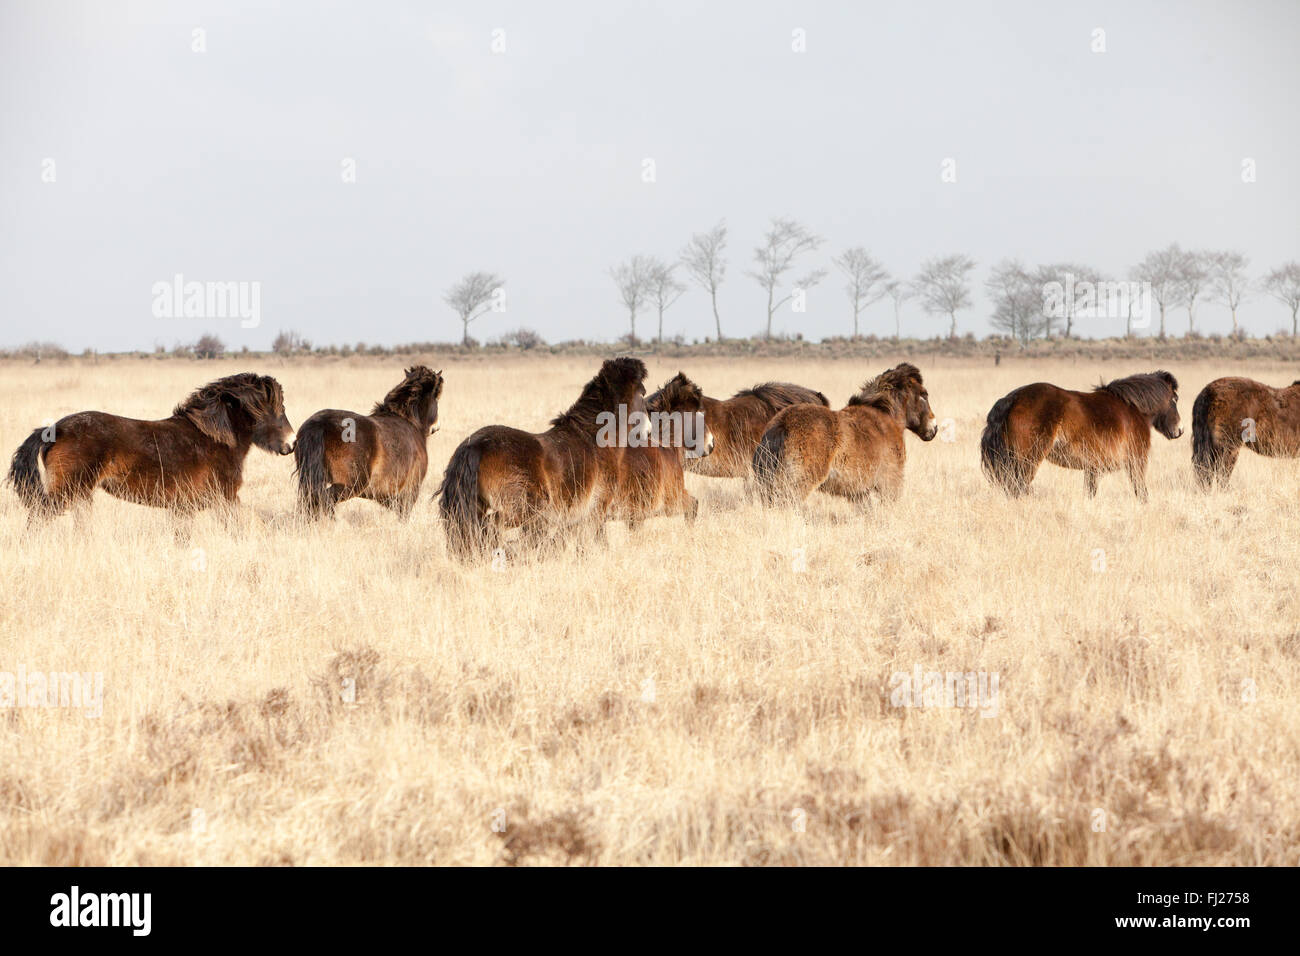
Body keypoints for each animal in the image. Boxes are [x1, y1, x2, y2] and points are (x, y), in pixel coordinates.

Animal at [7, 372, 294, 521]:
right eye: (276, 407)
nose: (291, 444)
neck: (214, 438)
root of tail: (53, 429)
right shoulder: (226, 499)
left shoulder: (183, 509)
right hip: (65, 492)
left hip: (81, 495)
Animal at [294, 366, 444, 519]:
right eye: (436, 398)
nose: (436, 427)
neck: (408, 421)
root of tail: (319, 424)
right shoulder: (409, 493)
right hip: (349, 486)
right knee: (323, 500)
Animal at [437, 356, 650, 559]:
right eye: (642, 393)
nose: (648, 431)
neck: (593, 439)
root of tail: (475, 446)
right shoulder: (595, 510)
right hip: (518, 511)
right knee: (490, 529)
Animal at [752, 363, 937, 504]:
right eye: (924, 395)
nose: (934, 429)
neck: (886, 416)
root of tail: (783, 424)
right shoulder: (890, 484)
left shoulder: (860, 493)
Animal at [980, 370, 1182, 501]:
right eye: (1175, 399)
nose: (1179, 430)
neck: (1133, 408)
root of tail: (1012, 399)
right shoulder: (1136, 462)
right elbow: (1141, 492)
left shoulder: (1092, 469)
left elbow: (1090, 494)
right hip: (1027, 461)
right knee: (1018, 488)